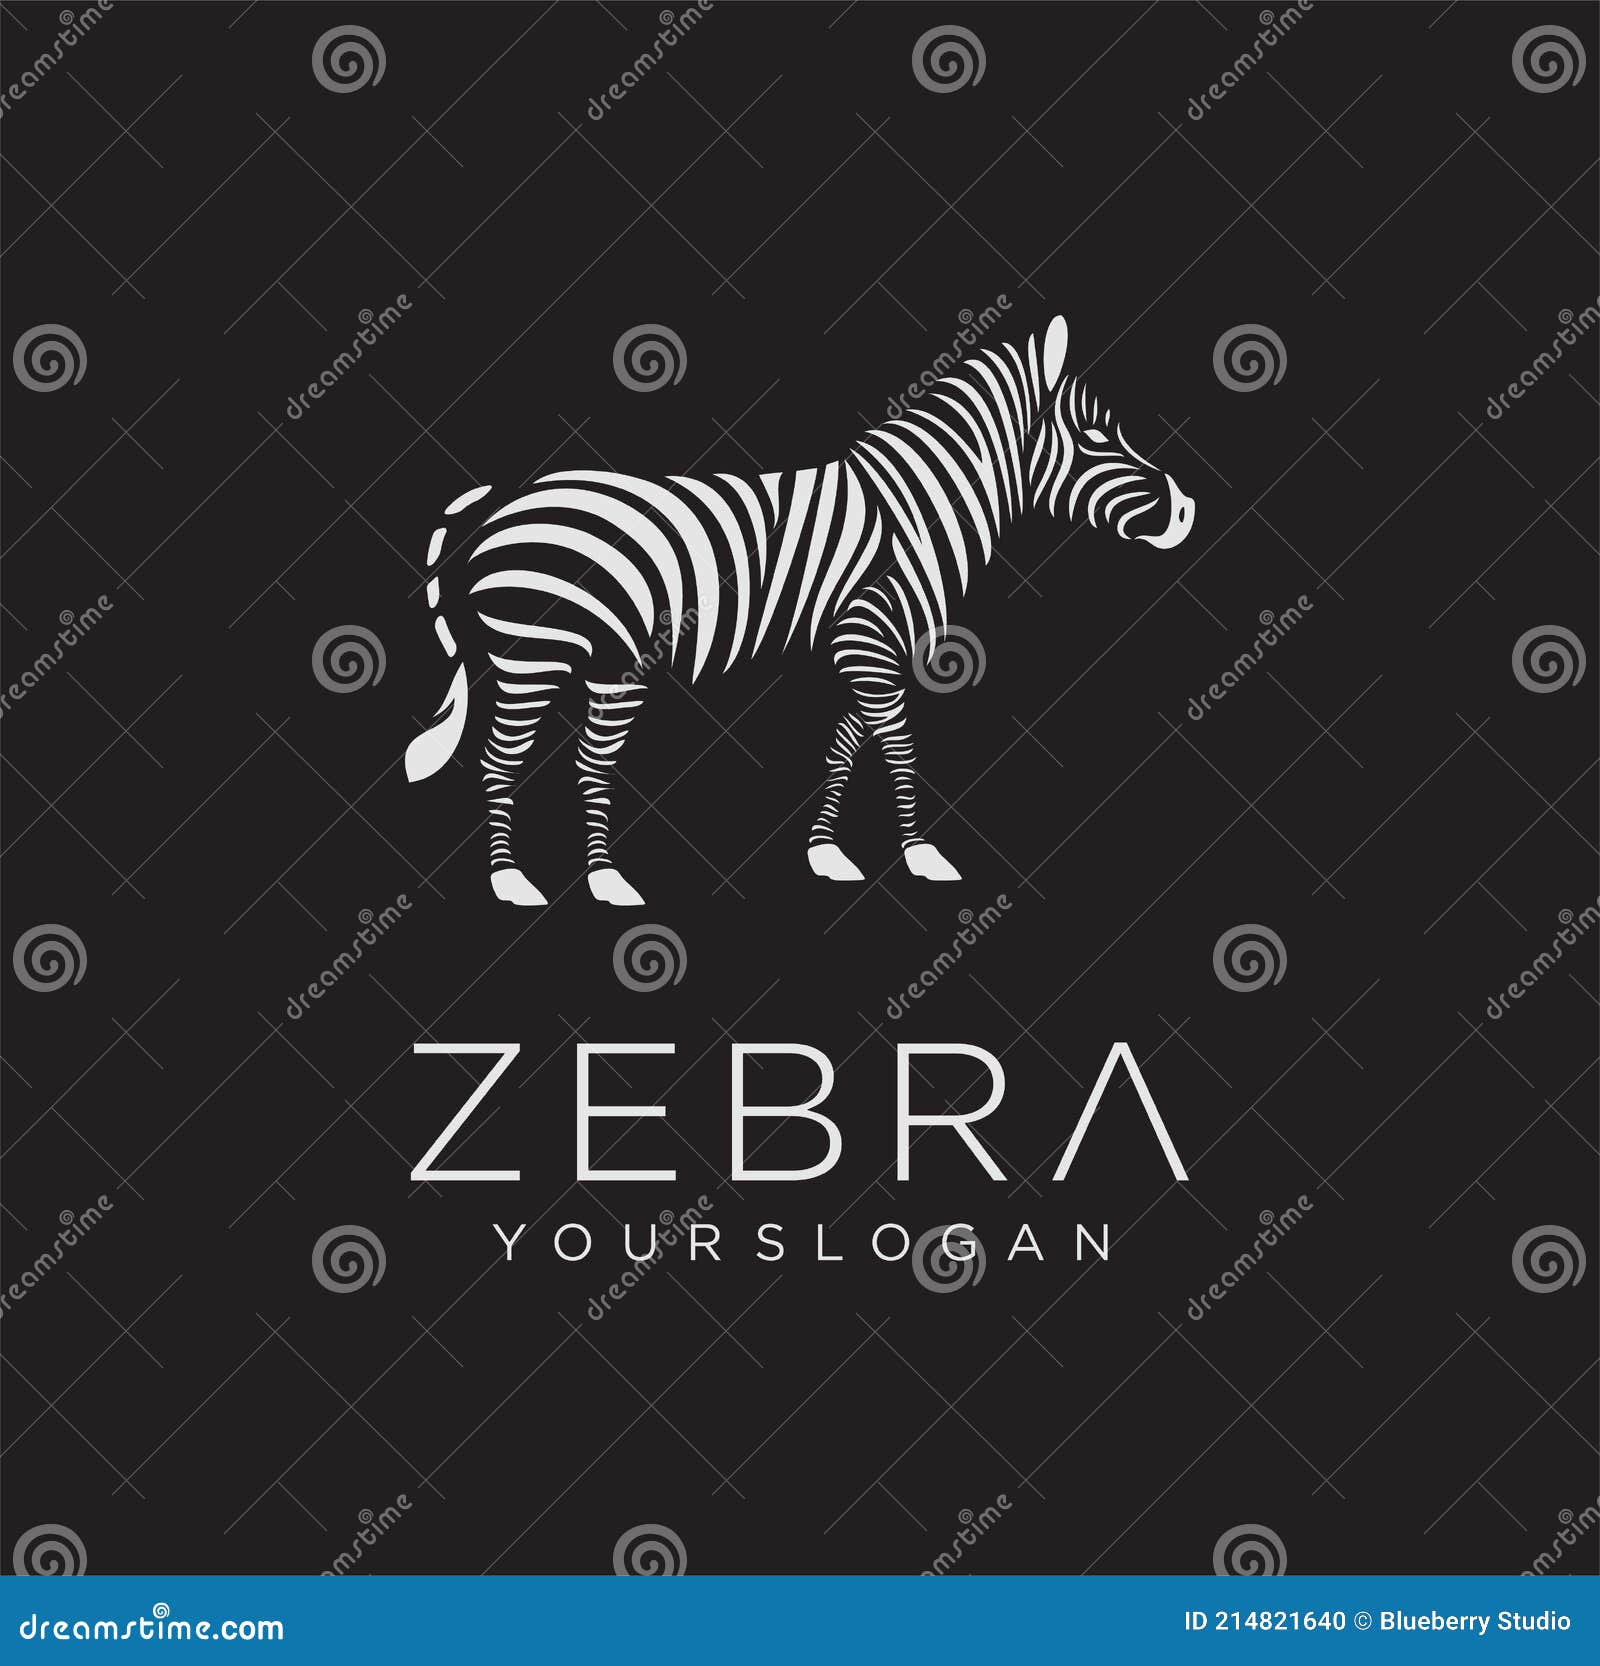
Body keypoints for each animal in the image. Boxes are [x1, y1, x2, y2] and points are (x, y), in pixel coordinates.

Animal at [404, 314, 1194, 907]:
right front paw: (922, 855)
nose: (1186, 509)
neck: (916, 510)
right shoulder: (869, 636)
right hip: (532, 653)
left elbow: (848, 743)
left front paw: (826, 855)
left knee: (589, 762)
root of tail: (499, 499)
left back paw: (607, 882)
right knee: (501, 759)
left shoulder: (868, 643)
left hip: (610, 665)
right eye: (1097, 435)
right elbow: (899, 742)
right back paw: (510, 882)